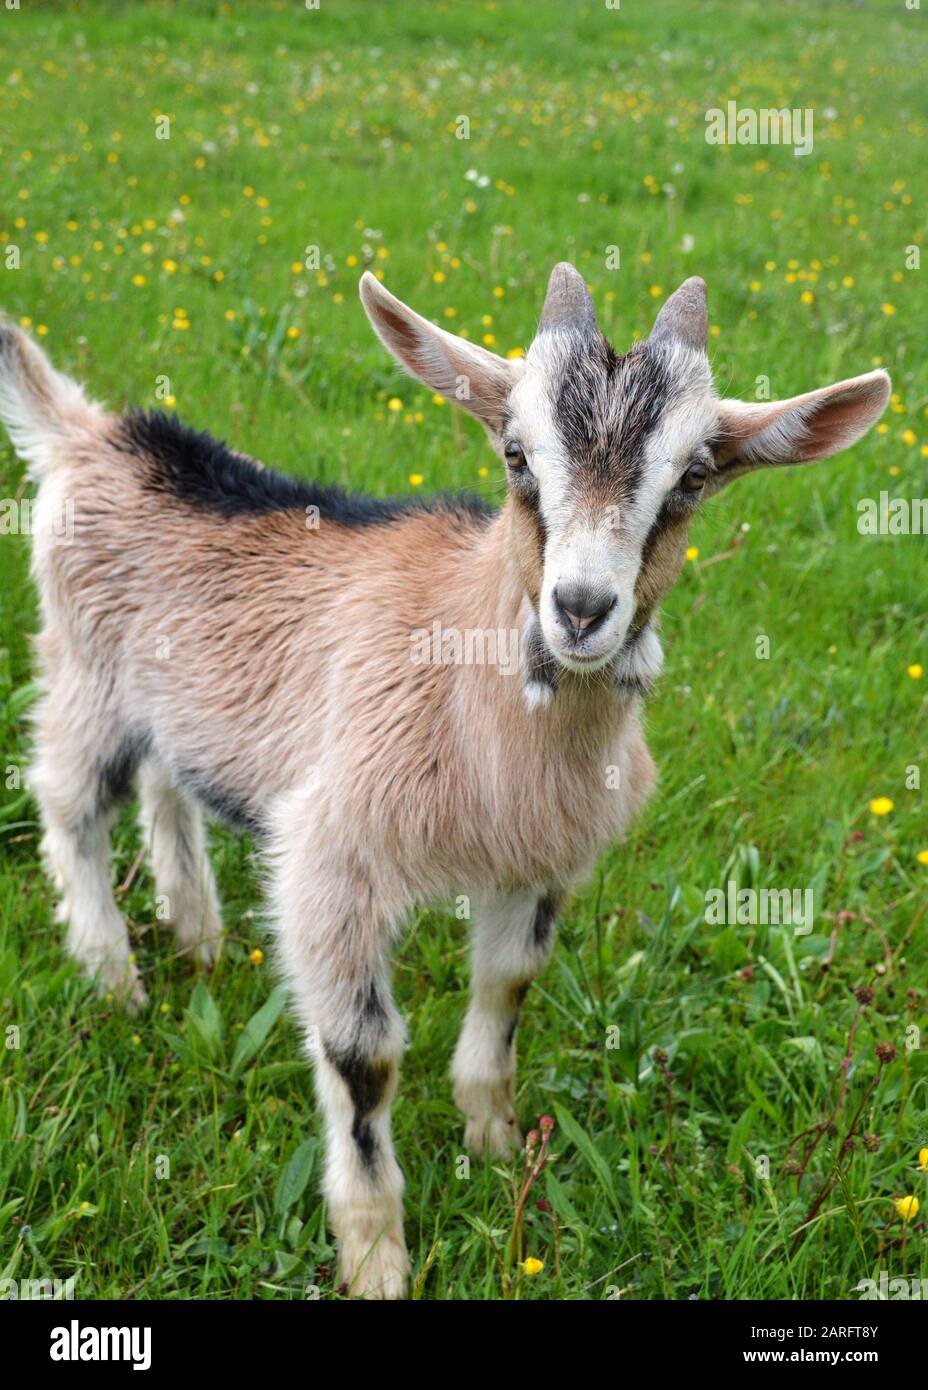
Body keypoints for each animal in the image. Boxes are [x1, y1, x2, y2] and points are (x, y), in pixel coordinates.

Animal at [0, 266, 890, 1297]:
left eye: (694, 477)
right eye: (515, 454)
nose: (579, 609)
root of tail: (90, 434)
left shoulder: (538, 859)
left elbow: (507, 984)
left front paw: (497, 1144)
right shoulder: (332, 858)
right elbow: (364, 1058)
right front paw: (376, 1255)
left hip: (174, 703)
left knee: (166, 784)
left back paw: (200, 936)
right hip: (85, 674)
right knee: (67, 801)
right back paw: (115, 978)